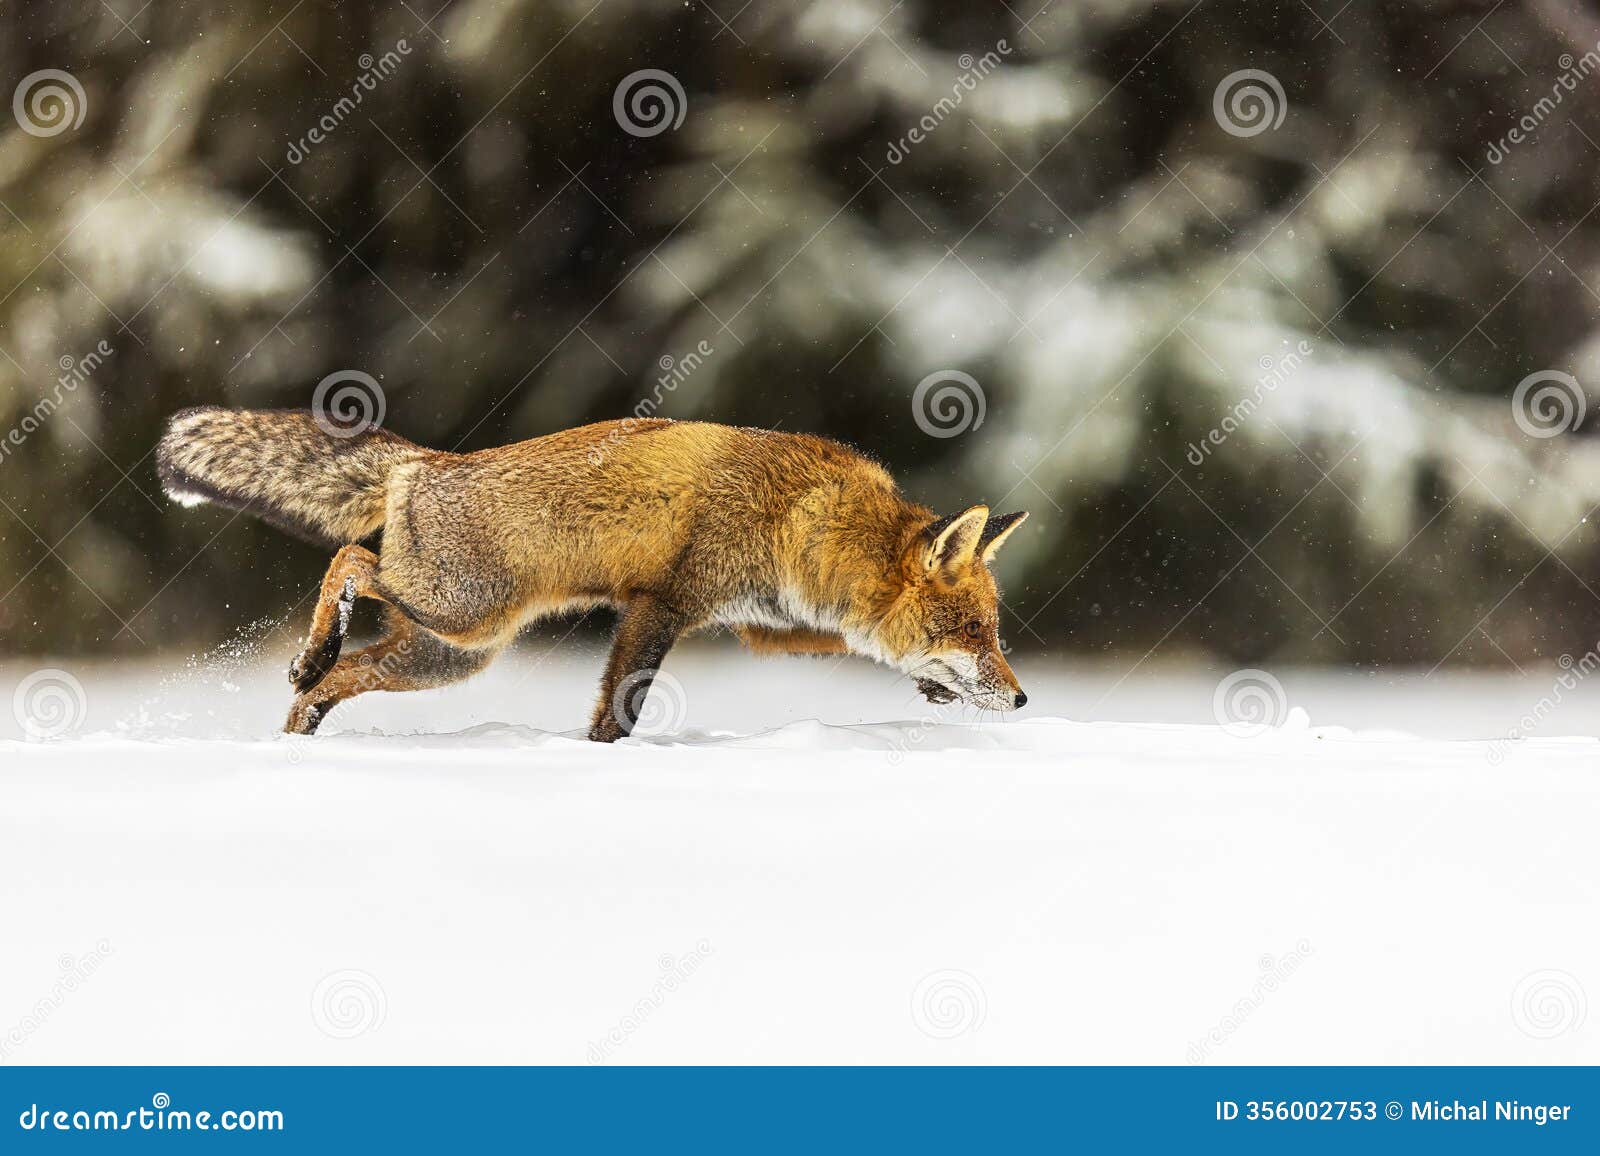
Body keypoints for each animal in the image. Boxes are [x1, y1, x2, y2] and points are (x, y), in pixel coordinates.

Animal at [155, 408, 1029, 741]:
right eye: (973, 629)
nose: (1023, 698)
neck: (806, 521)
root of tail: (423, 462)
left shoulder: (760, 621)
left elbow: (852, 645)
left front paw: (933, 686)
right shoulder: (663, 605)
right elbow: (621, 706)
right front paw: (602, 759)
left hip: (445, 656)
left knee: (339, 677)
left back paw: (301, 728)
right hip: (460, 615)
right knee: (350, 562)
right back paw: (311, 653)